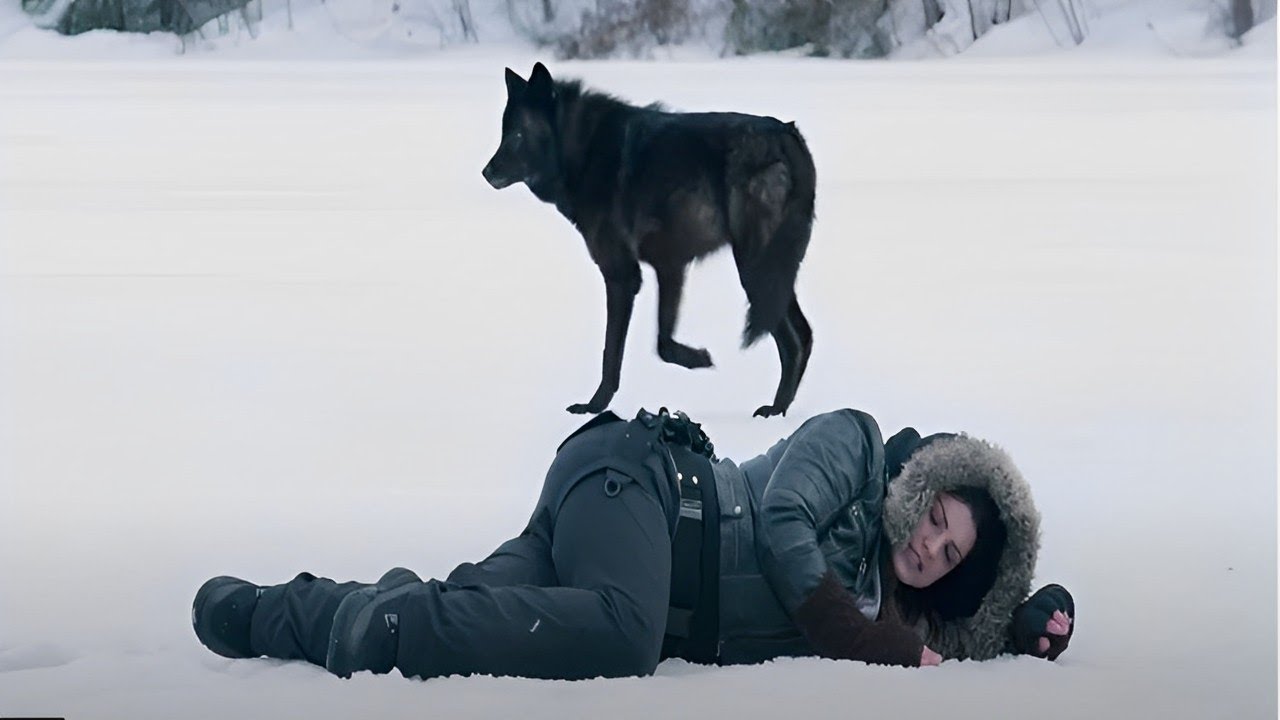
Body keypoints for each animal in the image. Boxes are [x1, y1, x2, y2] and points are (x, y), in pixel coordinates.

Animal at [482, 63, 816, 418]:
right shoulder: (670, 266)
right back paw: (782, 410)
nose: (486, 172)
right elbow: (663, 342)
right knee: (803, 334)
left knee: (792, 340)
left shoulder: (622, 274)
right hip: (772, 275)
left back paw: (774, 413)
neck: (583, 152)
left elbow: (613, 352)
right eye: (504, 133)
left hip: (755, 271)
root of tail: (787, 135)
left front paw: (594, 406)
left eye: (518, 135)